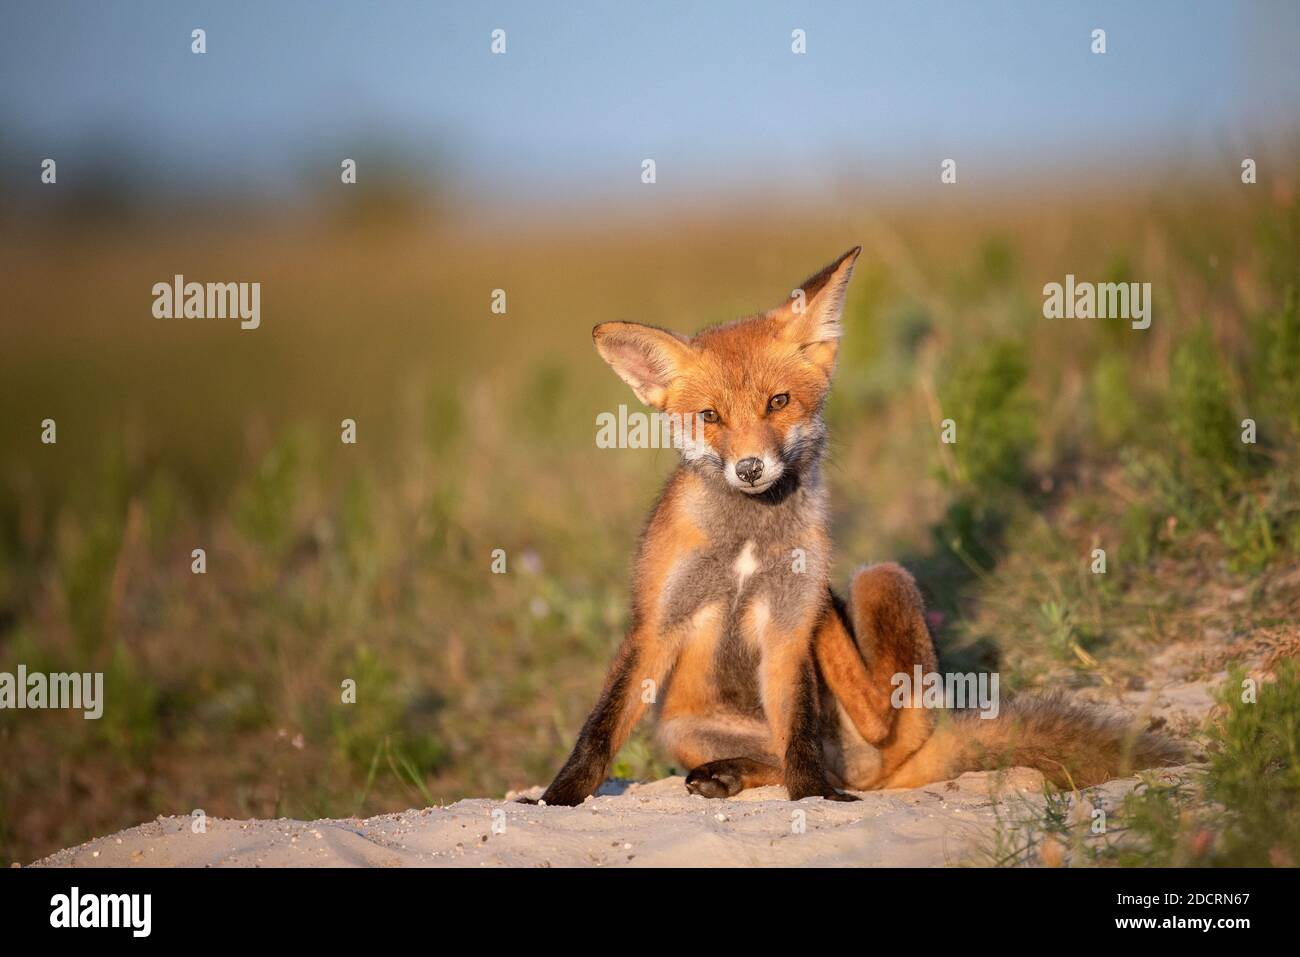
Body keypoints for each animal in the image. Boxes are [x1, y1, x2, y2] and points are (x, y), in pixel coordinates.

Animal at [525, 246, 1183, 806]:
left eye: (778, 403)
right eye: (710, 417)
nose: (750, 468)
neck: (748, 542)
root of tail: (888, 773)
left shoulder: (787, 628)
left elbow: (799, 735)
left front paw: (813, 798)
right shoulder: (657, 621)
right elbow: (601, 729)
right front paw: (558, 798)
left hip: (880, 580)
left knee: (876, 717)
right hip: (685, 728)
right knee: (789, 755)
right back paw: (731, 772)